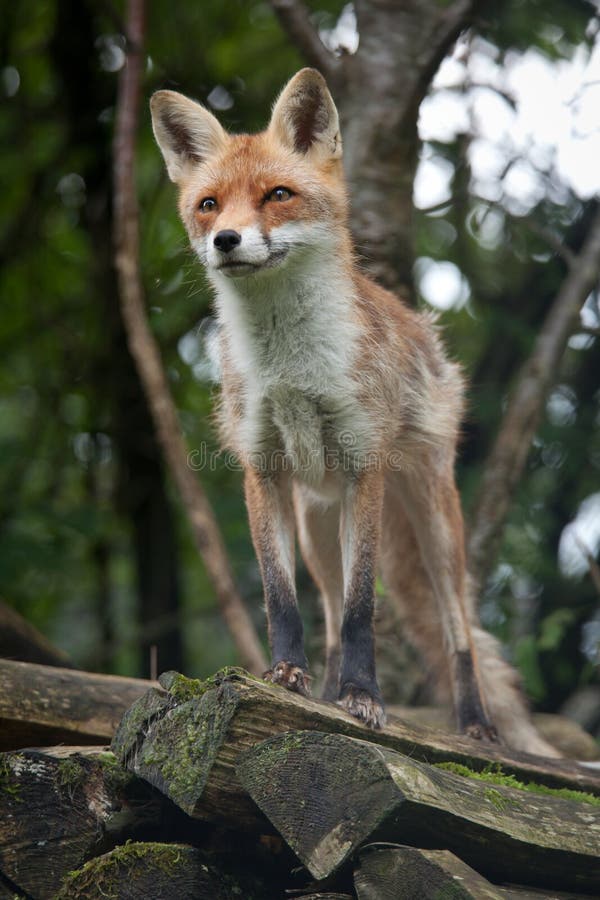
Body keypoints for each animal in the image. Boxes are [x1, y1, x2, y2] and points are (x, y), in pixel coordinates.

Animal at [150, 68, 558, 755]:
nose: (227, 240)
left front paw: (364, 698)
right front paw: (287, 678)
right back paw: (324, 686)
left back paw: (476, 725)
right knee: (329, 612)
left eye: (277, 195)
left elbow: (364, 605)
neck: (290, 368)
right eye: (209, 205)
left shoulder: (365, 466)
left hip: (434, 518)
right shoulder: (262, 469)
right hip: (317, 523)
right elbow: (281, 598)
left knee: (459, 630)